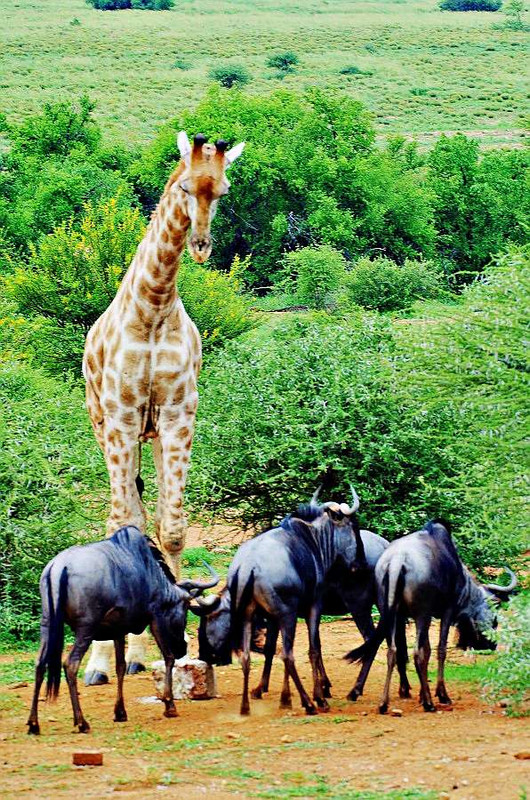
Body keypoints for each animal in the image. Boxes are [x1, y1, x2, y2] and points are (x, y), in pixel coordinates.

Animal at [82, 132, 245, 685]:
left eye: (222, 190)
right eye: (183, 186)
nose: (201, 245)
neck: (153, 307)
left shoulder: (178, 415)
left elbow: (171, 527)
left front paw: (176, 645)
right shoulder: (122, 416)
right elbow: (120, 523)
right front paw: (101, 661)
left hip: (152, 436)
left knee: (153, 517)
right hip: (105, 427)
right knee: (124, 514)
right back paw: (116, 655)